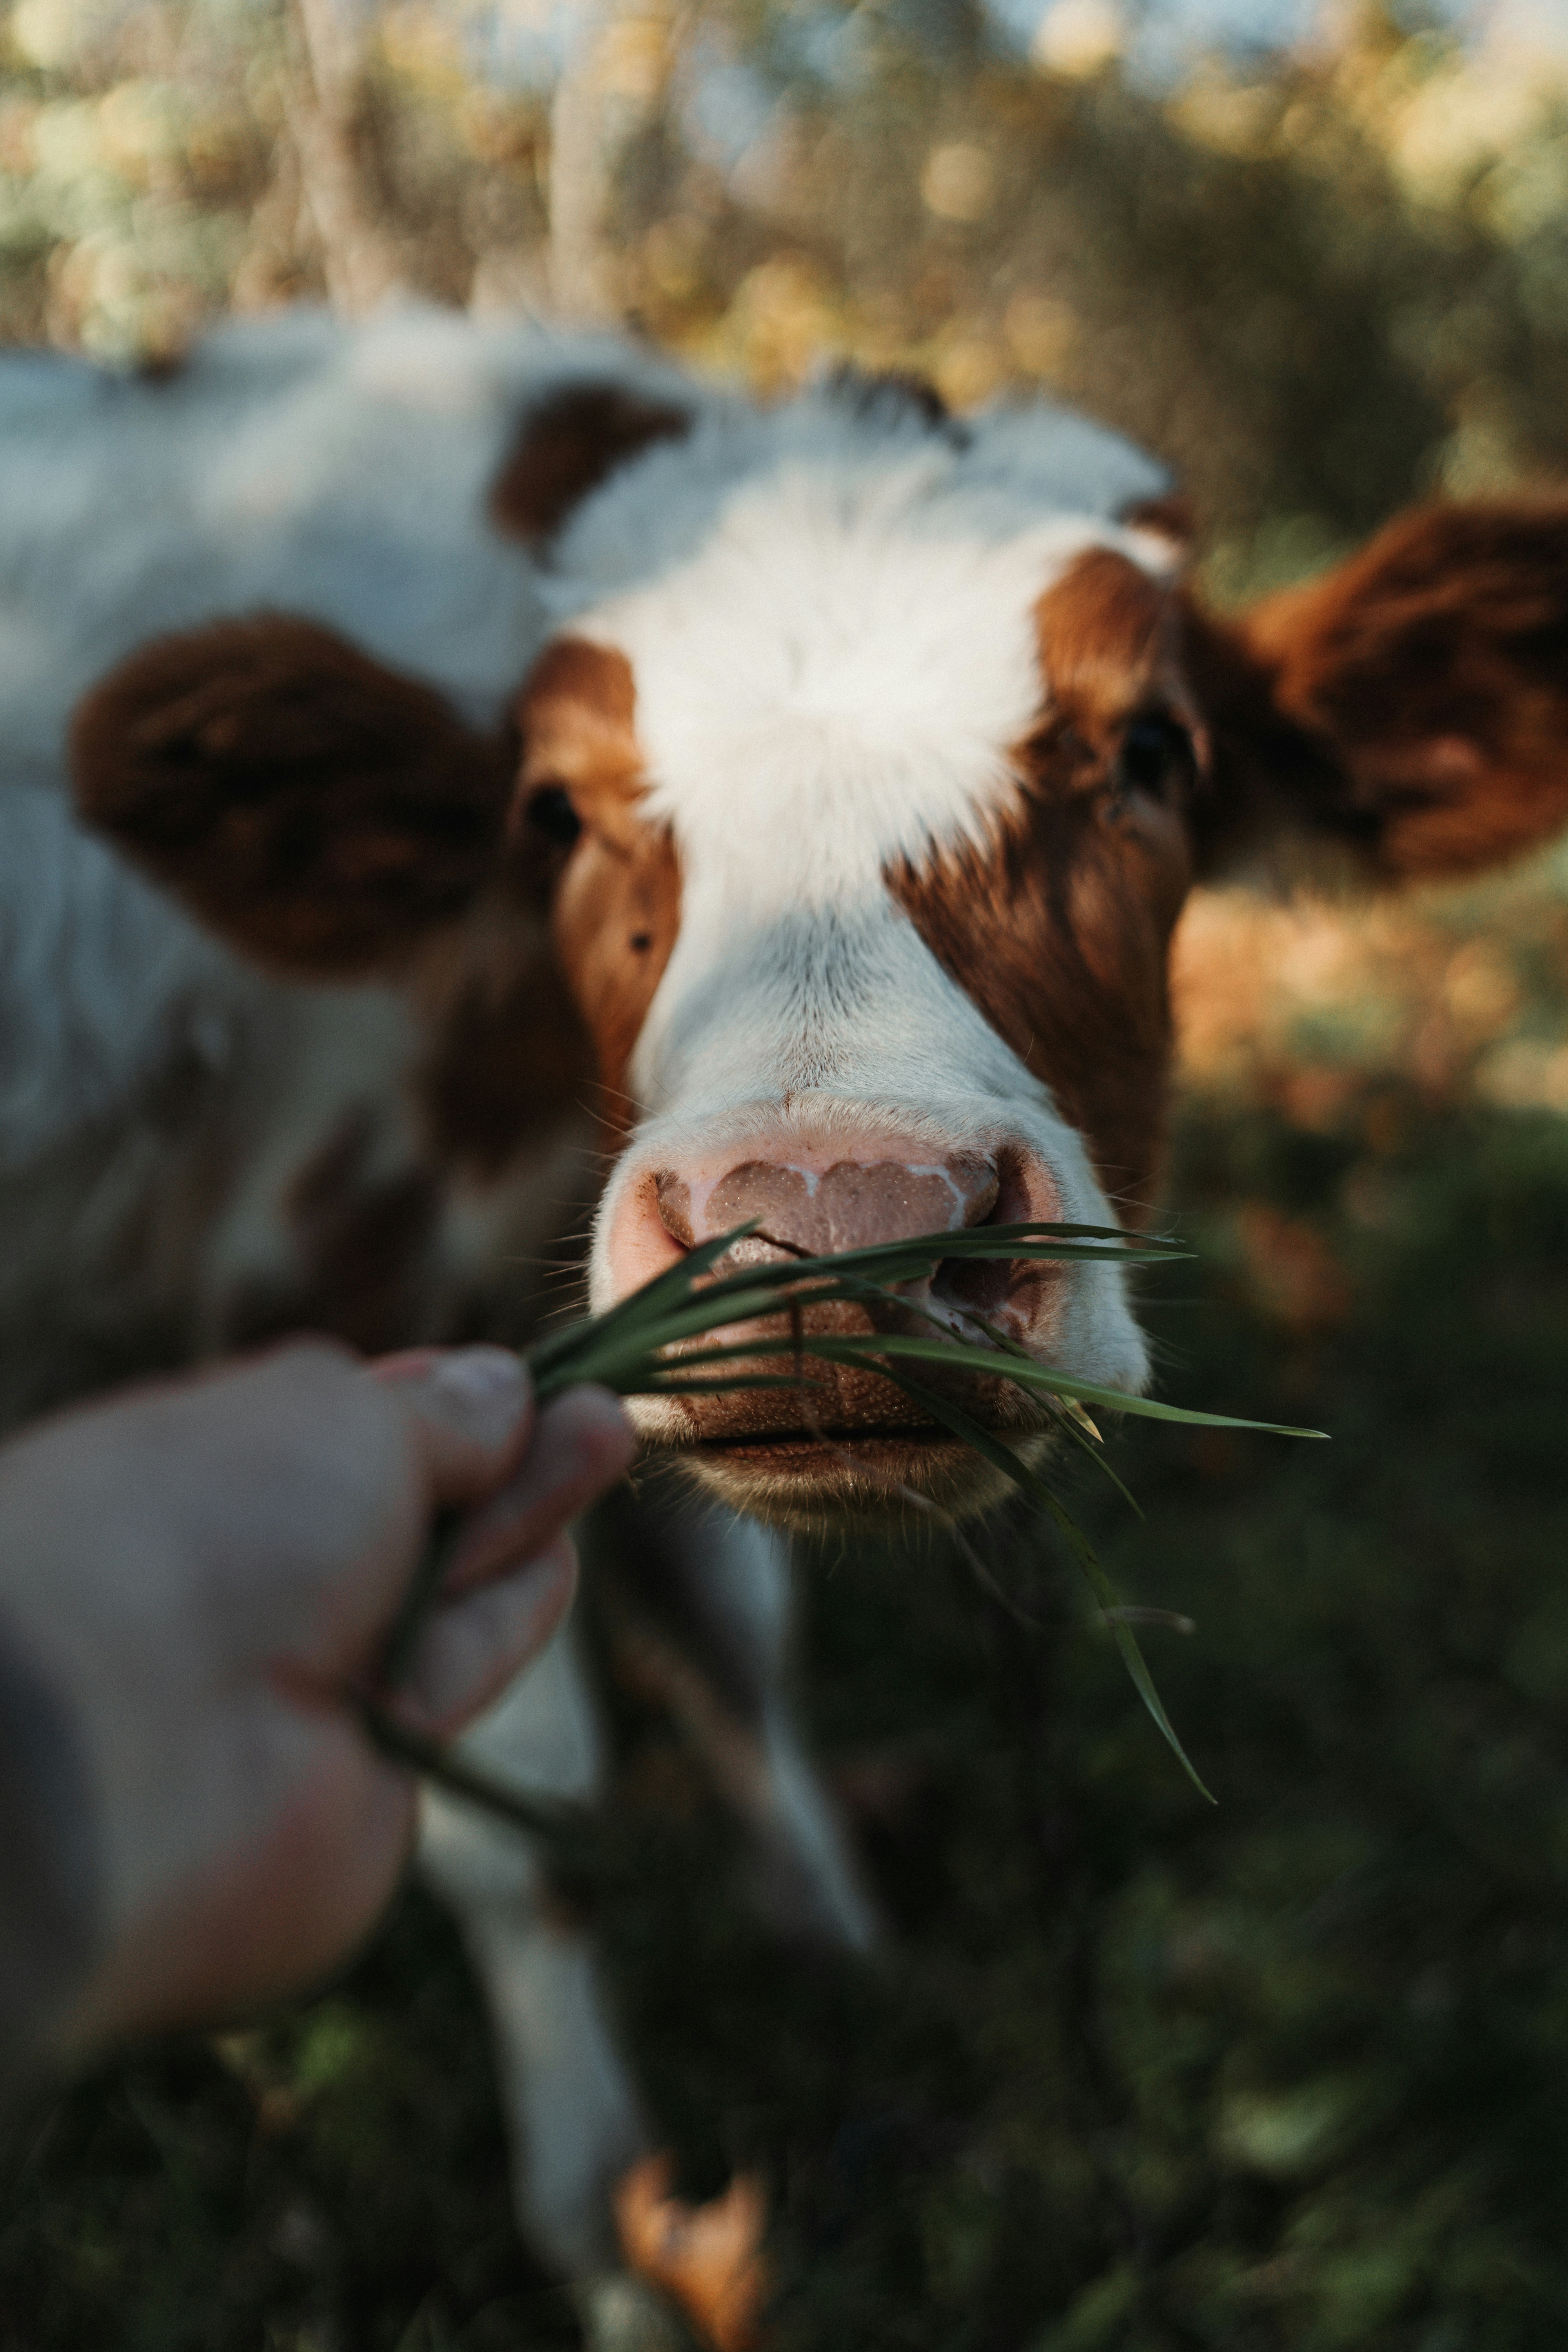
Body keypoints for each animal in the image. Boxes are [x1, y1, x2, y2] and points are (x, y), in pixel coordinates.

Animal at [3, 299, 1566, 2349]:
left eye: (1152, 746)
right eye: (551, 813)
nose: (832, 1234)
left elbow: (734, 1635)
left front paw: (835, 1943)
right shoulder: (330, 1292)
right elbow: (522, 1819)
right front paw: (620, 2249)